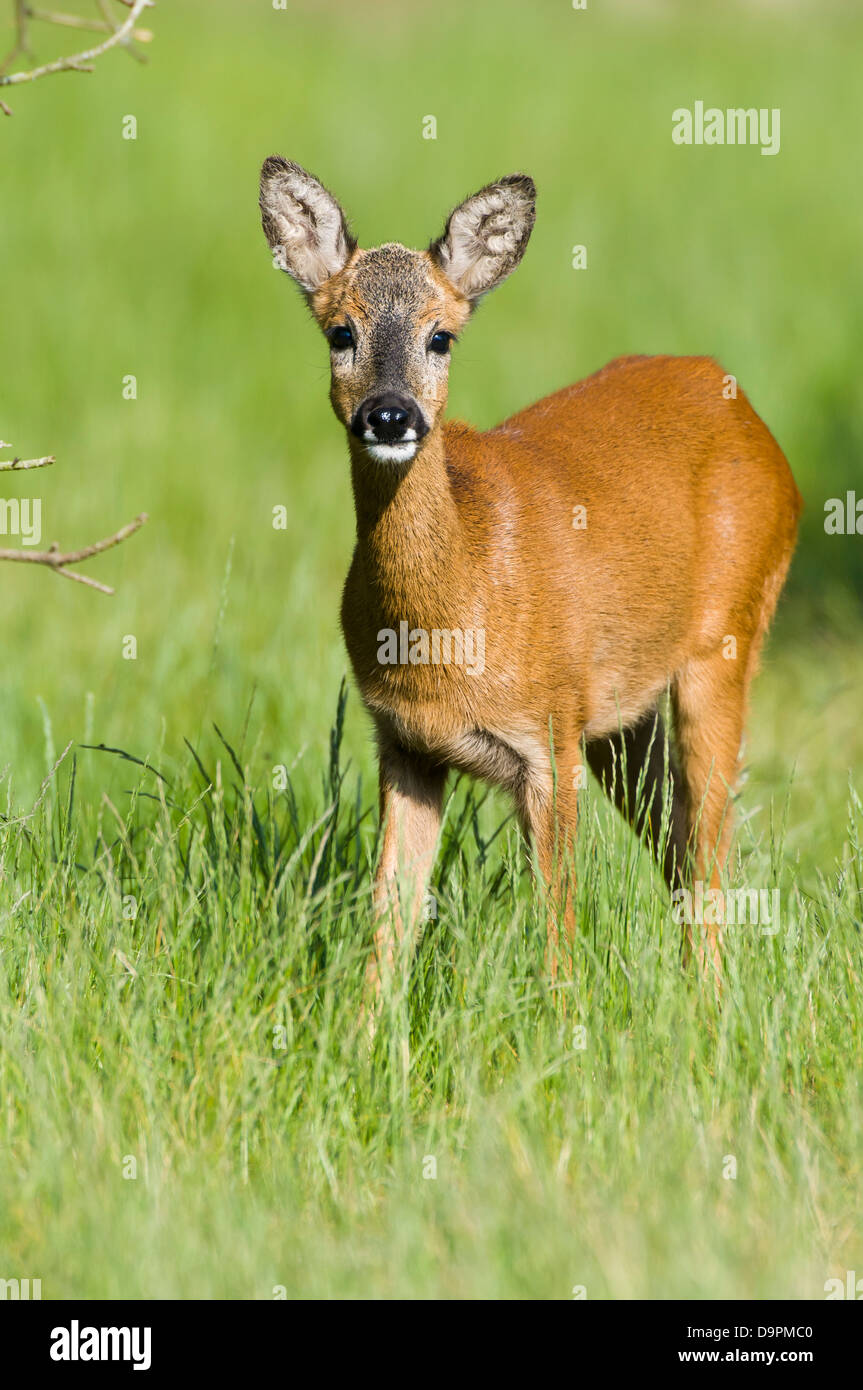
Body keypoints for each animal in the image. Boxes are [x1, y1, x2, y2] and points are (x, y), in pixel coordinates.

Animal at [258, 156, 801, 1002]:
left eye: (440, 336)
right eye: (340, 332)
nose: (390, 415)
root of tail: (740, 404)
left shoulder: (545, 737)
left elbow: (557, 923)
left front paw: (563, 1022)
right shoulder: (405, 741)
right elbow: (393, 916)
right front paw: (363, 1029)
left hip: (726, 638)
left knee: (710, 844)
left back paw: (709, 1008)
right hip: (619, 718)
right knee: (678, 843)